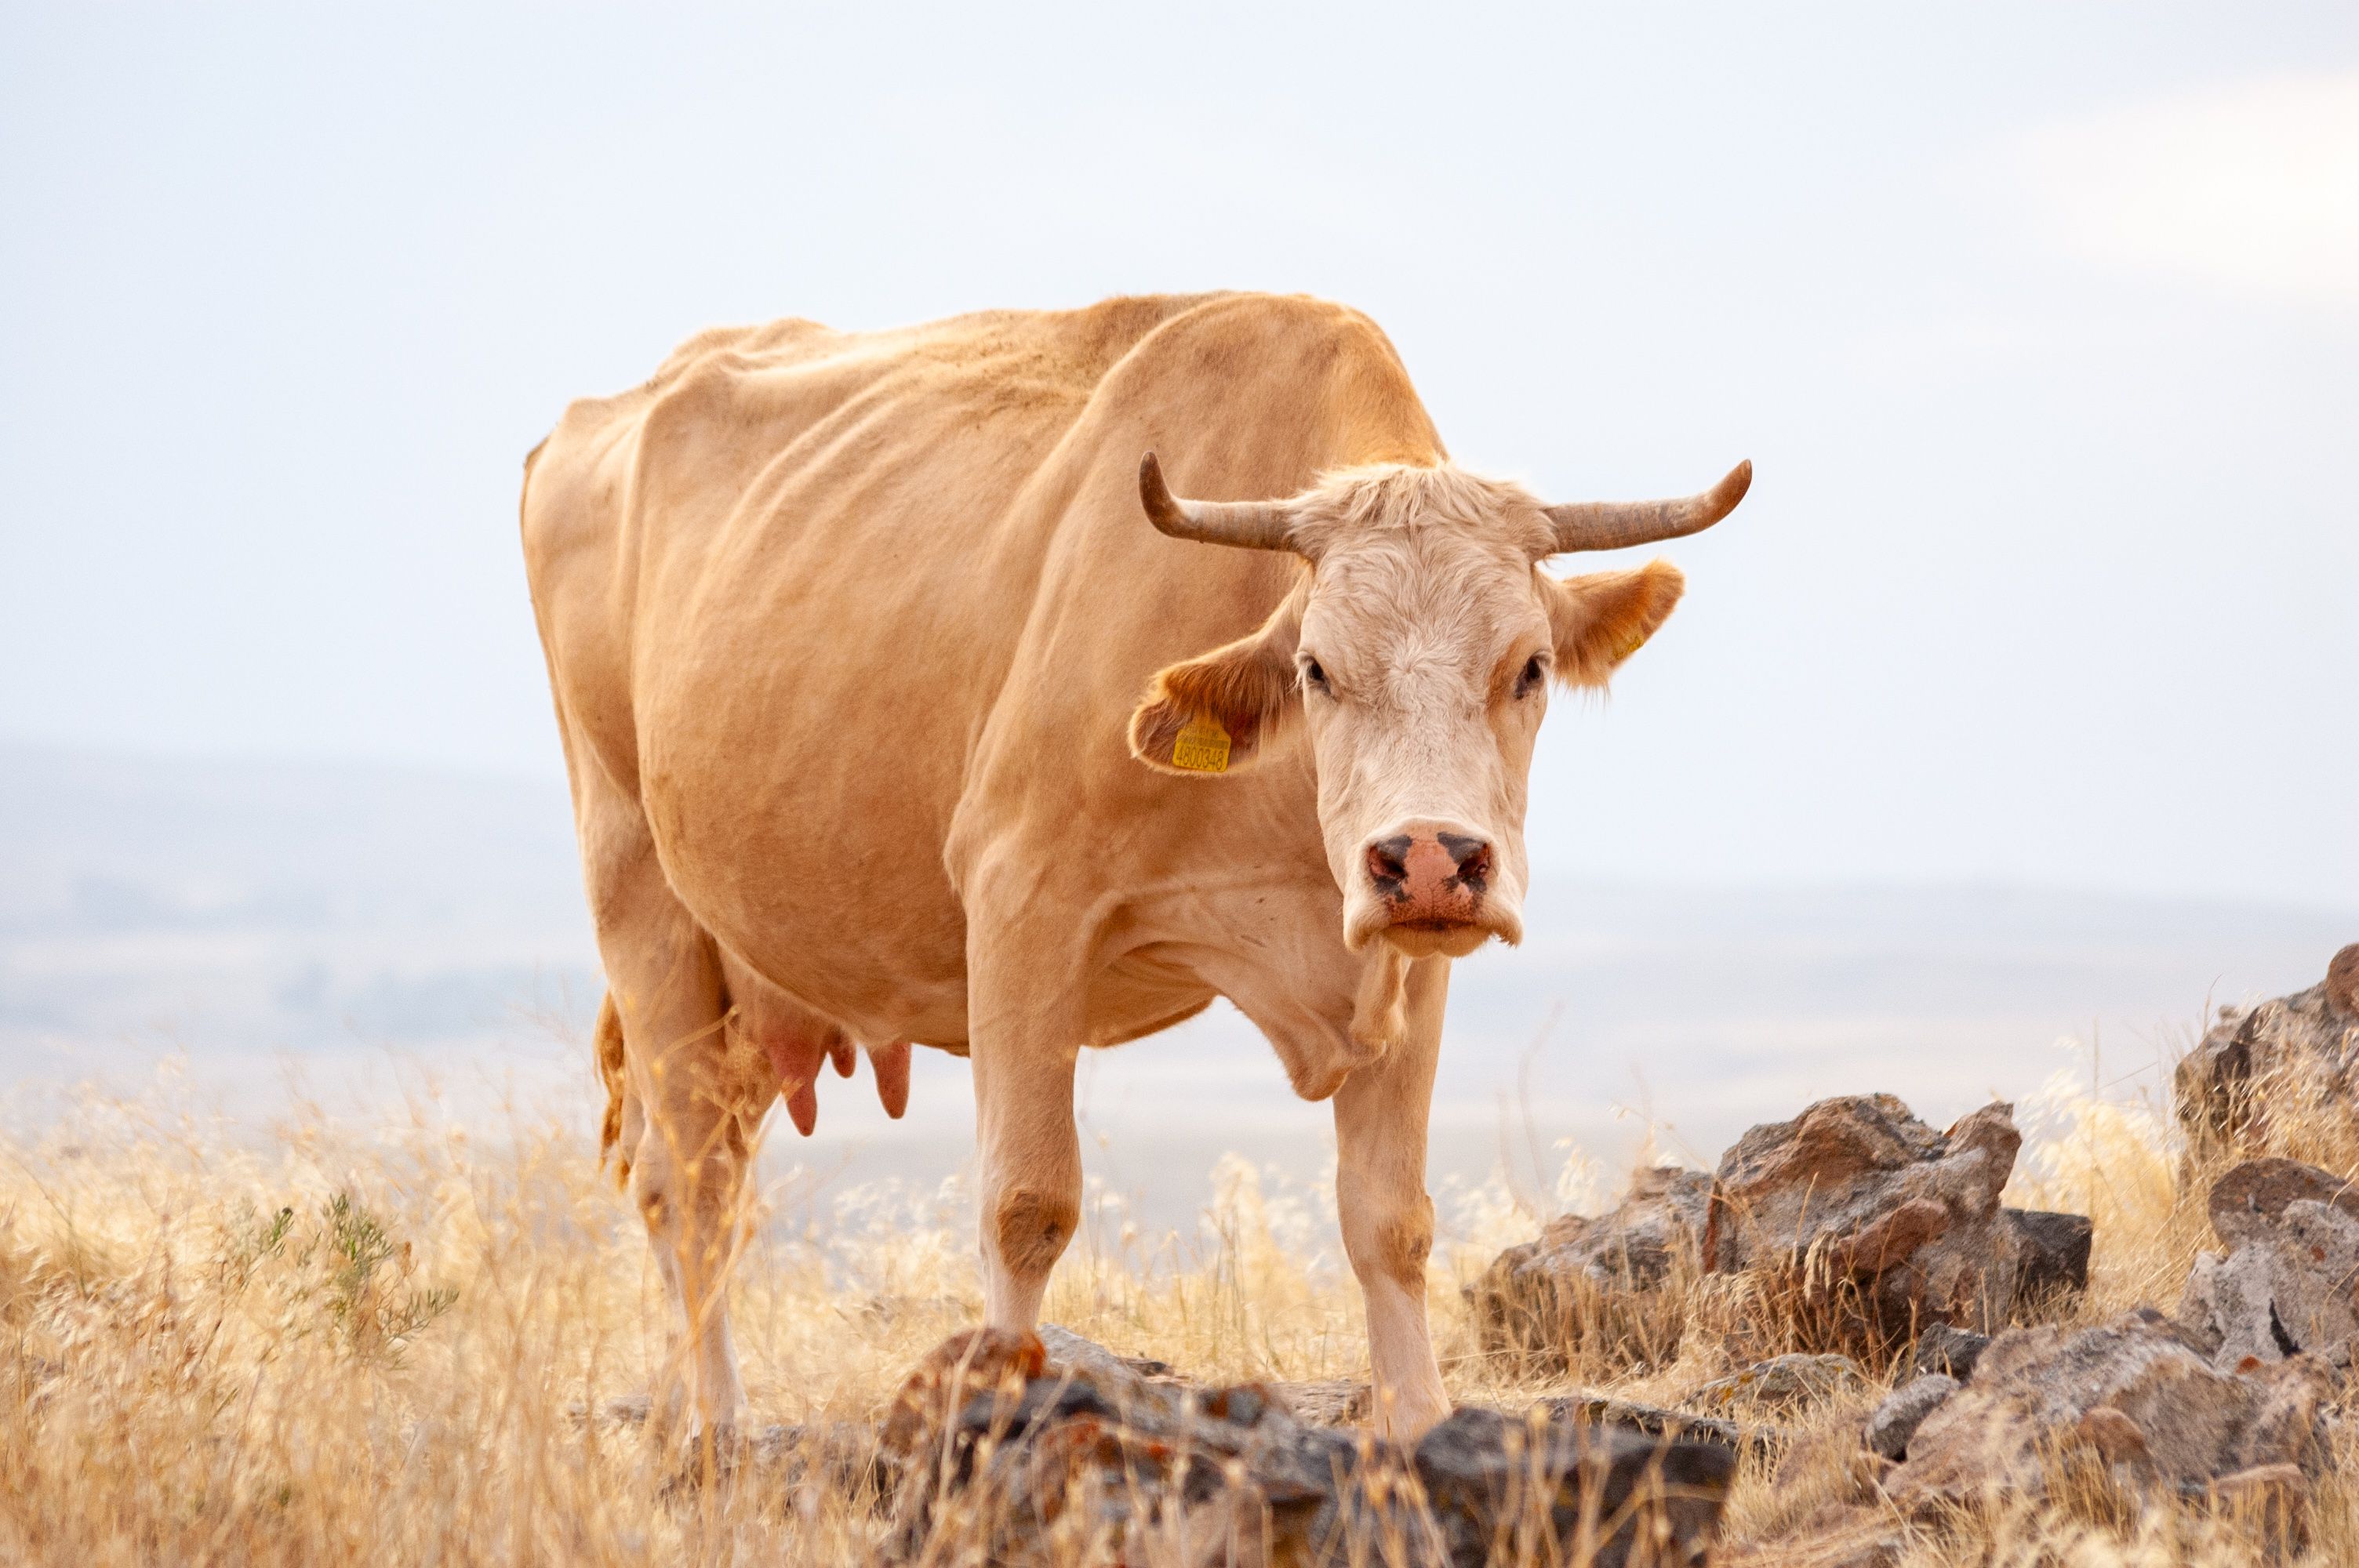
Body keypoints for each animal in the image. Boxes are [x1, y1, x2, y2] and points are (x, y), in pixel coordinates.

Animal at [520, 292, 1747, 1441]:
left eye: (1528, 667)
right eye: (1317, 668)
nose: (1430, 859)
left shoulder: (1406, 961)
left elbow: (1389, 1220)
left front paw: (1421, 1429)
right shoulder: (1020, 907)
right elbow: (1026, 1203)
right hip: (641, 896)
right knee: (691, 1182)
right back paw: (714, 1427)